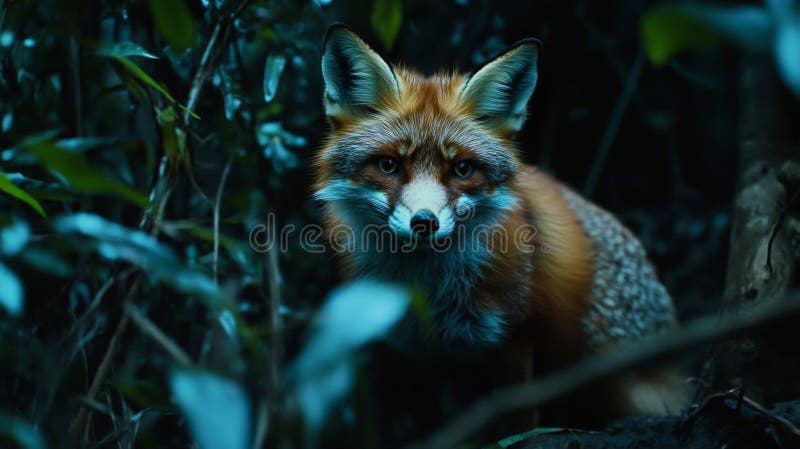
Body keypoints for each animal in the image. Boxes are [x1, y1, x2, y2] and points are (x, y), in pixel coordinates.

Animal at [312, 24, 684, 423]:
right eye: (388, 165)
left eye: (462, 169)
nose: (424, 223)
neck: (429, 292)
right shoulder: (406, 354)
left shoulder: (513, 337)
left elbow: (516, 424)